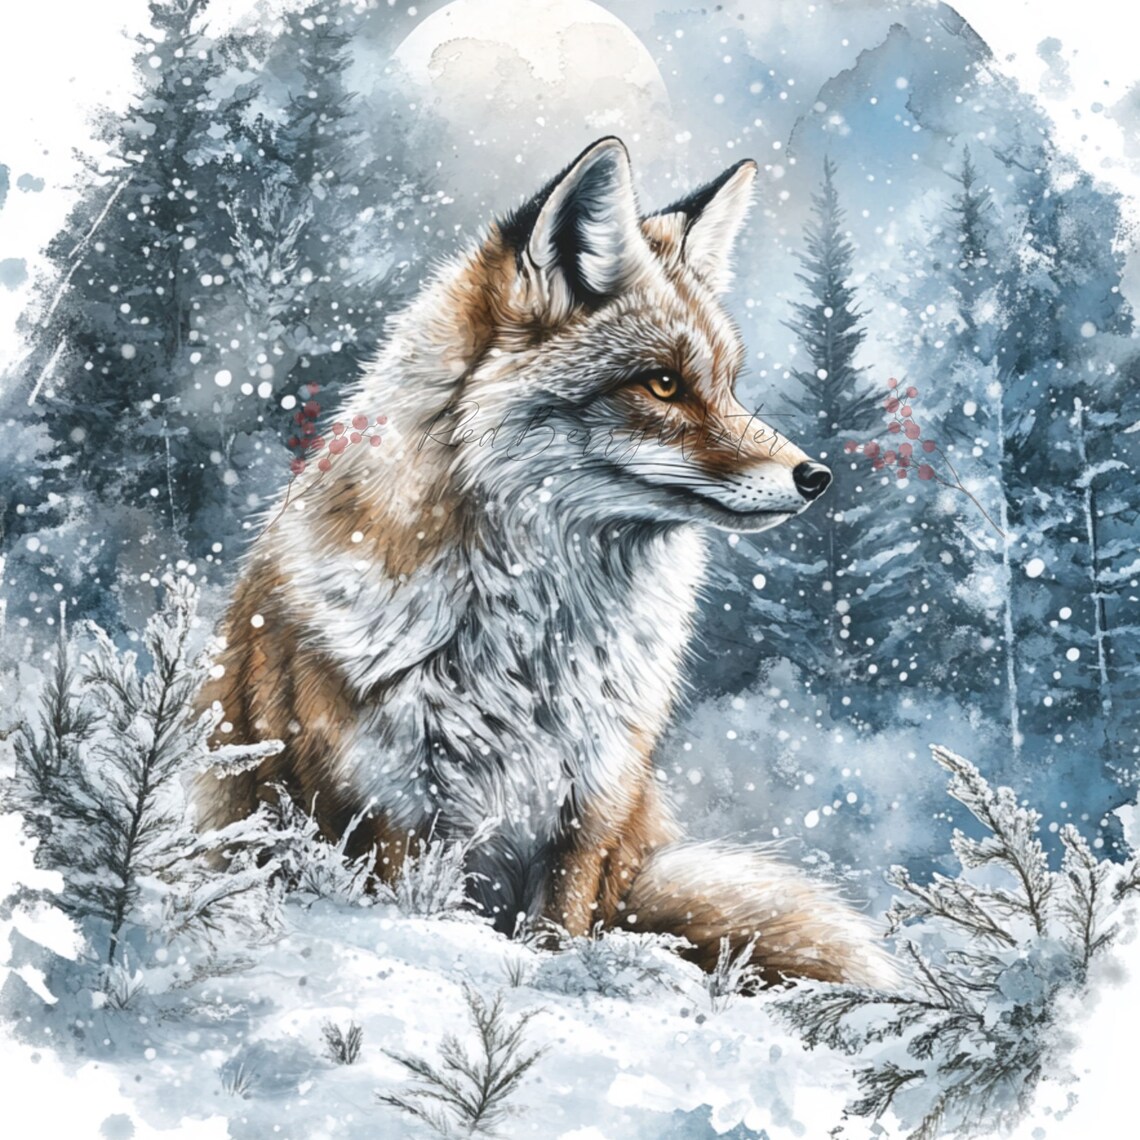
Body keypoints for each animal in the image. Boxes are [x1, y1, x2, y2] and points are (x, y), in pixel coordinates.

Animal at [196, 137, 895, 988]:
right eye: (663, 383)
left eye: (729, 385)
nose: (816, 476)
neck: (530, 659)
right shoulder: (386, 813)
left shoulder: (587, 811)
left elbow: (557, 938)